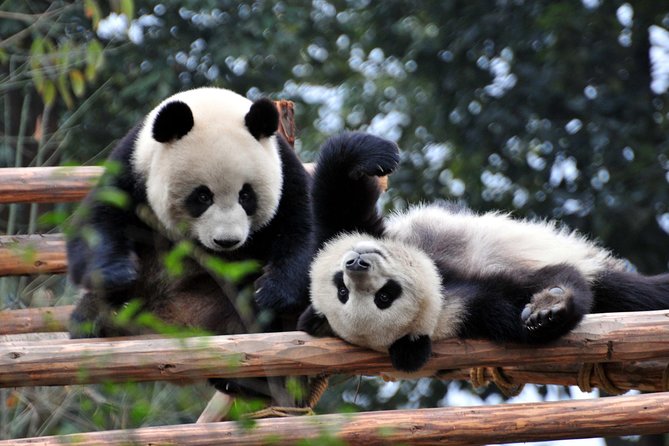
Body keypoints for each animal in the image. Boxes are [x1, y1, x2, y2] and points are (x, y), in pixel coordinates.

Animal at [298, 133, 669, 373]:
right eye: (382, 298)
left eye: (340, 288)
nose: (356, 263)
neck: (439, 279)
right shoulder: (468, 309)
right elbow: (535, 293)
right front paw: (549, 310)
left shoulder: (351, 230)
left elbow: (336, 197)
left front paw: (372, 155)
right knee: (632, 293)